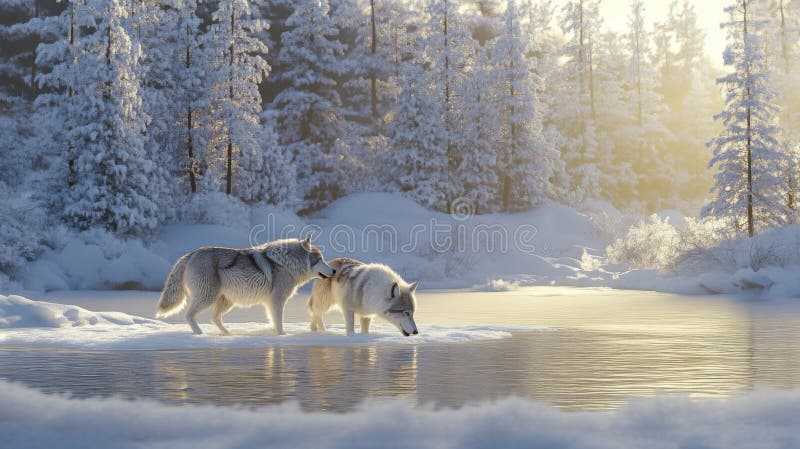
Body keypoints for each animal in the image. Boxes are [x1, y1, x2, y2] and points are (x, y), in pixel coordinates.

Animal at [156, 236, 335, 335]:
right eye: (320, 259)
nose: (333, 270)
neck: (287, 264)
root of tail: (189, 255)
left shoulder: (269, 303)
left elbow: (273, 320)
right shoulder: (277, 301)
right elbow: (279, 322)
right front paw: (283, 335)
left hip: (226, 301)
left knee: (215, 319)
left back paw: (228, 334)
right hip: (208, 297)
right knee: (189, 315)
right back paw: (200, 334)